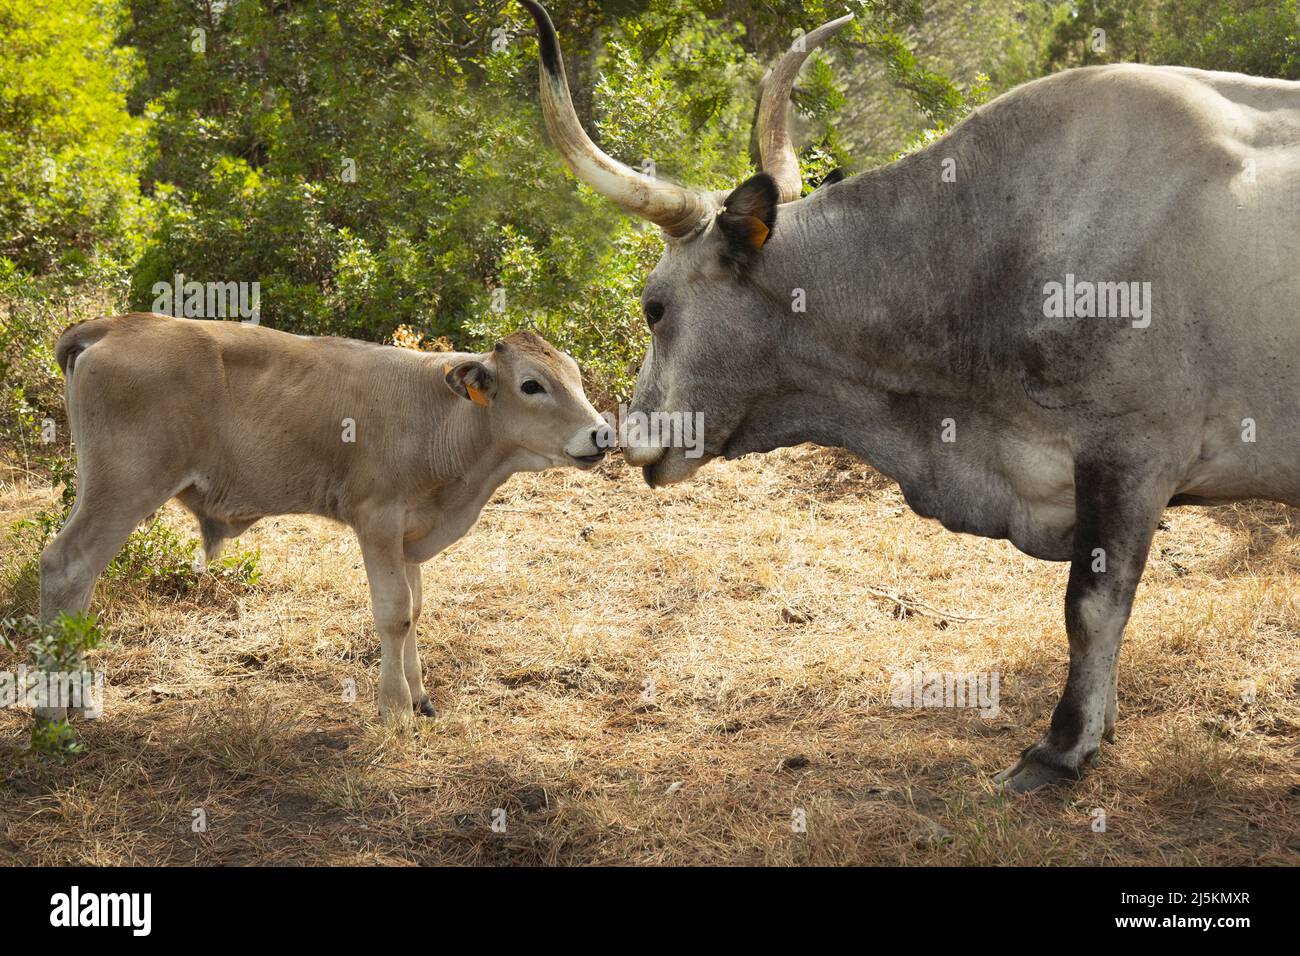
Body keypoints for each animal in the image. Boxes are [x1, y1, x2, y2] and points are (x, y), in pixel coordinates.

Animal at [37, 313, 609, 723]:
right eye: (532, 385)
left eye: (577, 377)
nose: (602, 433)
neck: (441, 416)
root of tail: (117, 324)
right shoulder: (378, 521)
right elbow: (394, 612)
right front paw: (395, 709)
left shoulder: (410, 534)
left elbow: (416, 607)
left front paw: (419, 695)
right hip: (123, 488)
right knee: (65, 568)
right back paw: (51, 708)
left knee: (82, 580)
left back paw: (78, 697)